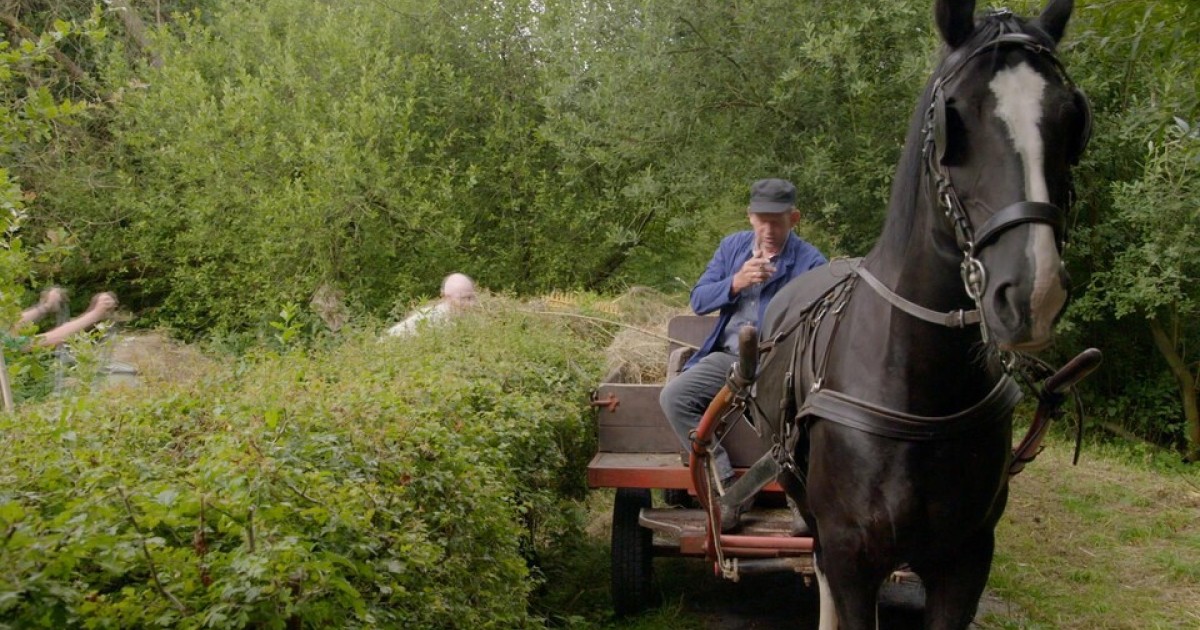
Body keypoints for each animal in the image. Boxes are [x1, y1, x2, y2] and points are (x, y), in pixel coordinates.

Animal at [749, 1, 1092, 628]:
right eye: (955, 117)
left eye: (1070, 118)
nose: (1032, 292)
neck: (921, 387)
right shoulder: (852, 554)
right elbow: (838, 580)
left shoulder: (967, 559)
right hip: (800, 491)